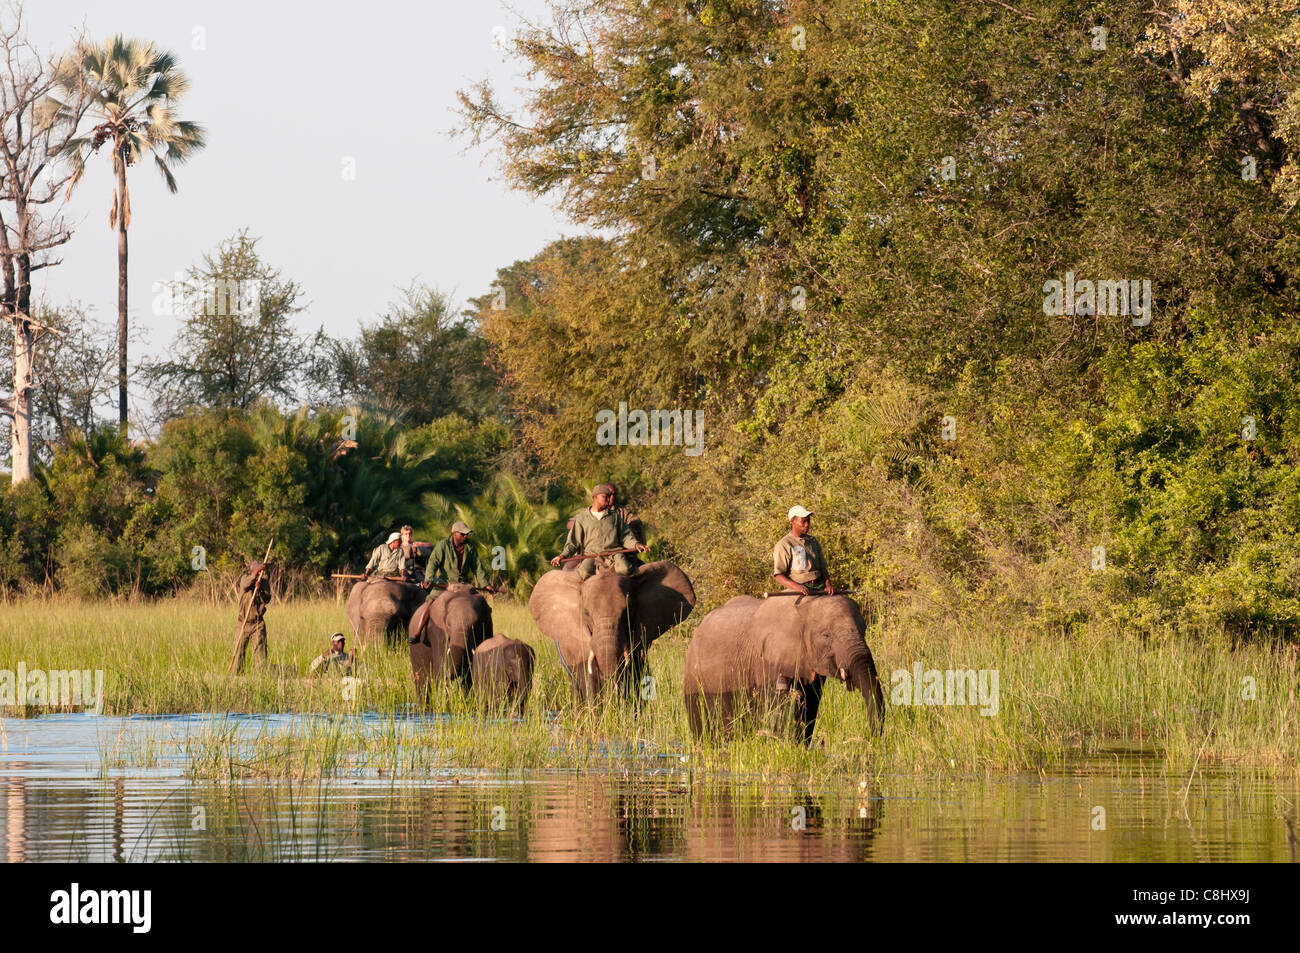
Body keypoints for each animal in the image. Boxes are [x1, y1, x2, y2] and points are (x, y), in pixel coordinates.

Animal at [683, 593, 885, 742]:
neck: (803, 608)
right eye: (826, 635)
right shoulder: (767, 660)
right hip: (693, 676)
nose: (871, 739)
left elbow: (810, 703)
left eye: (864, 630)